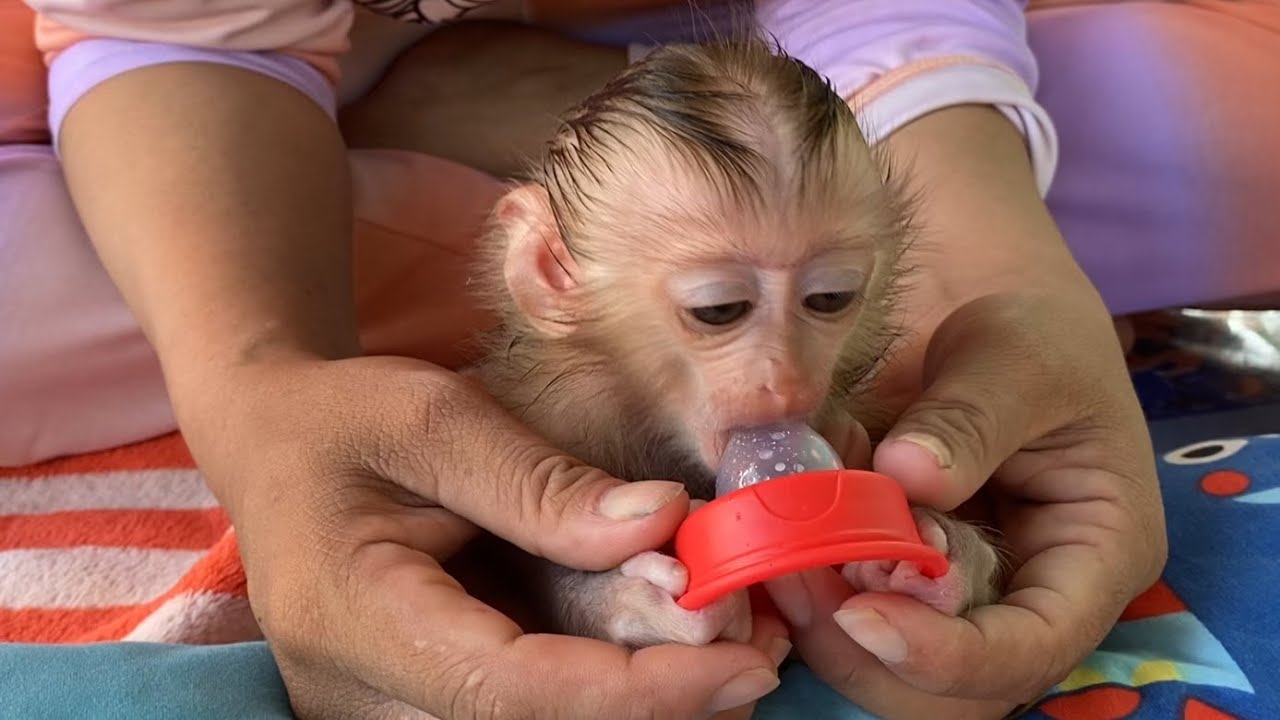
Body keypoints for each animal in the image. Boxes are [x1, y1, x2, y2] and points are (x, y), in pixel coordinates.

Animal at [462, 35, 1004, 650]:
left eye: (829, 298)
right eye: (719, 310)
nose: (785, 378)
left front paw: (945, 557)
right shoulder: (551, 410)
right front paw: (636, 599)